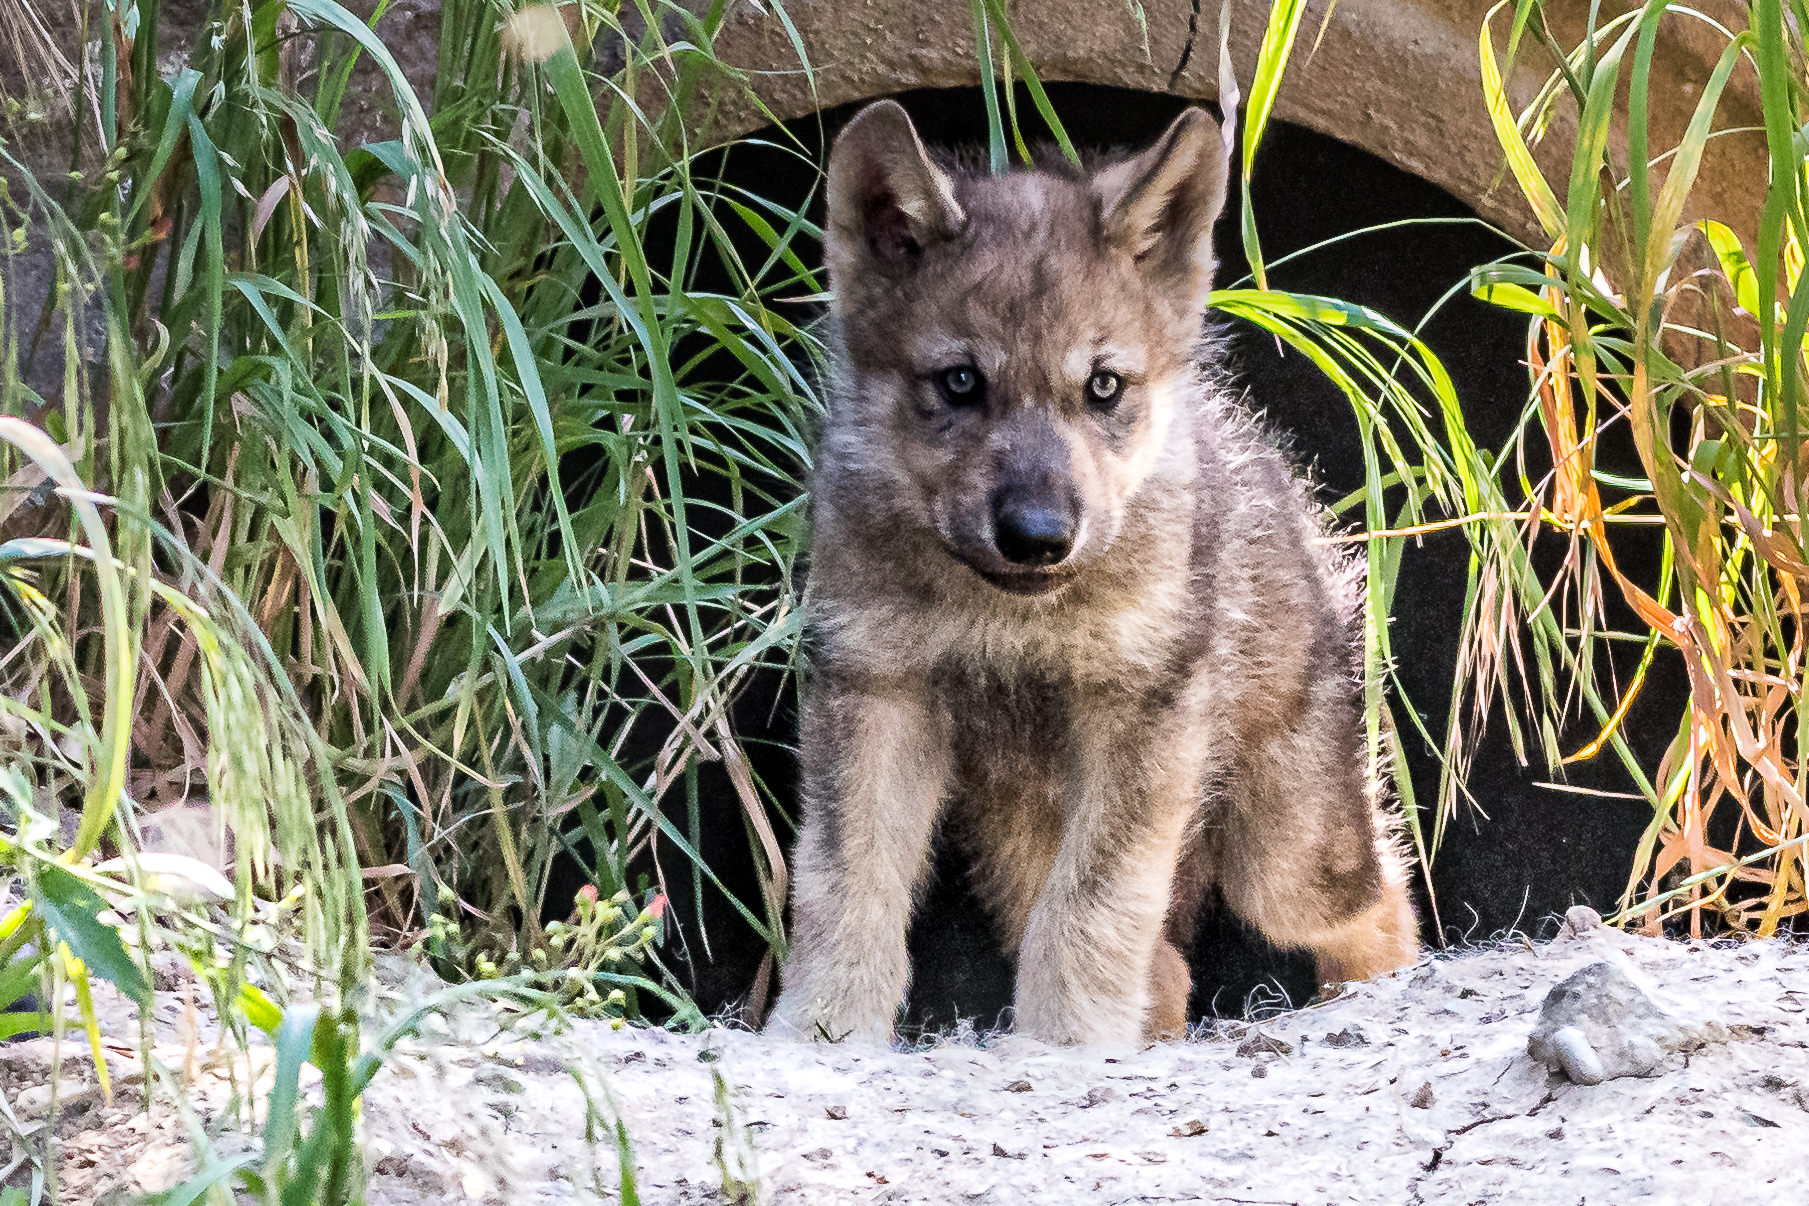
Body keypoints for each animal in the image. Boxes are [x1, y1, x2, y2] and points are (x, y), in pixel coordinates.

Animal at [766, 100, 1419, 1048]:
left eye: (1104, 387)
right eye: (959, 382)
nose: (1037, 537)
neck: (1007, 621)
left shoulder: (1141, 713)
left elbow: (1092, 908)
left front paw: (1068, 1045)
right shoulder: (877, 690)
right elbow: (844, 889)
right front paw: (822, 1032)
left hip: (1285, 853)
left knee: (1379, 907)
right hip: (1020, 841)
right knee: (1168, 968)